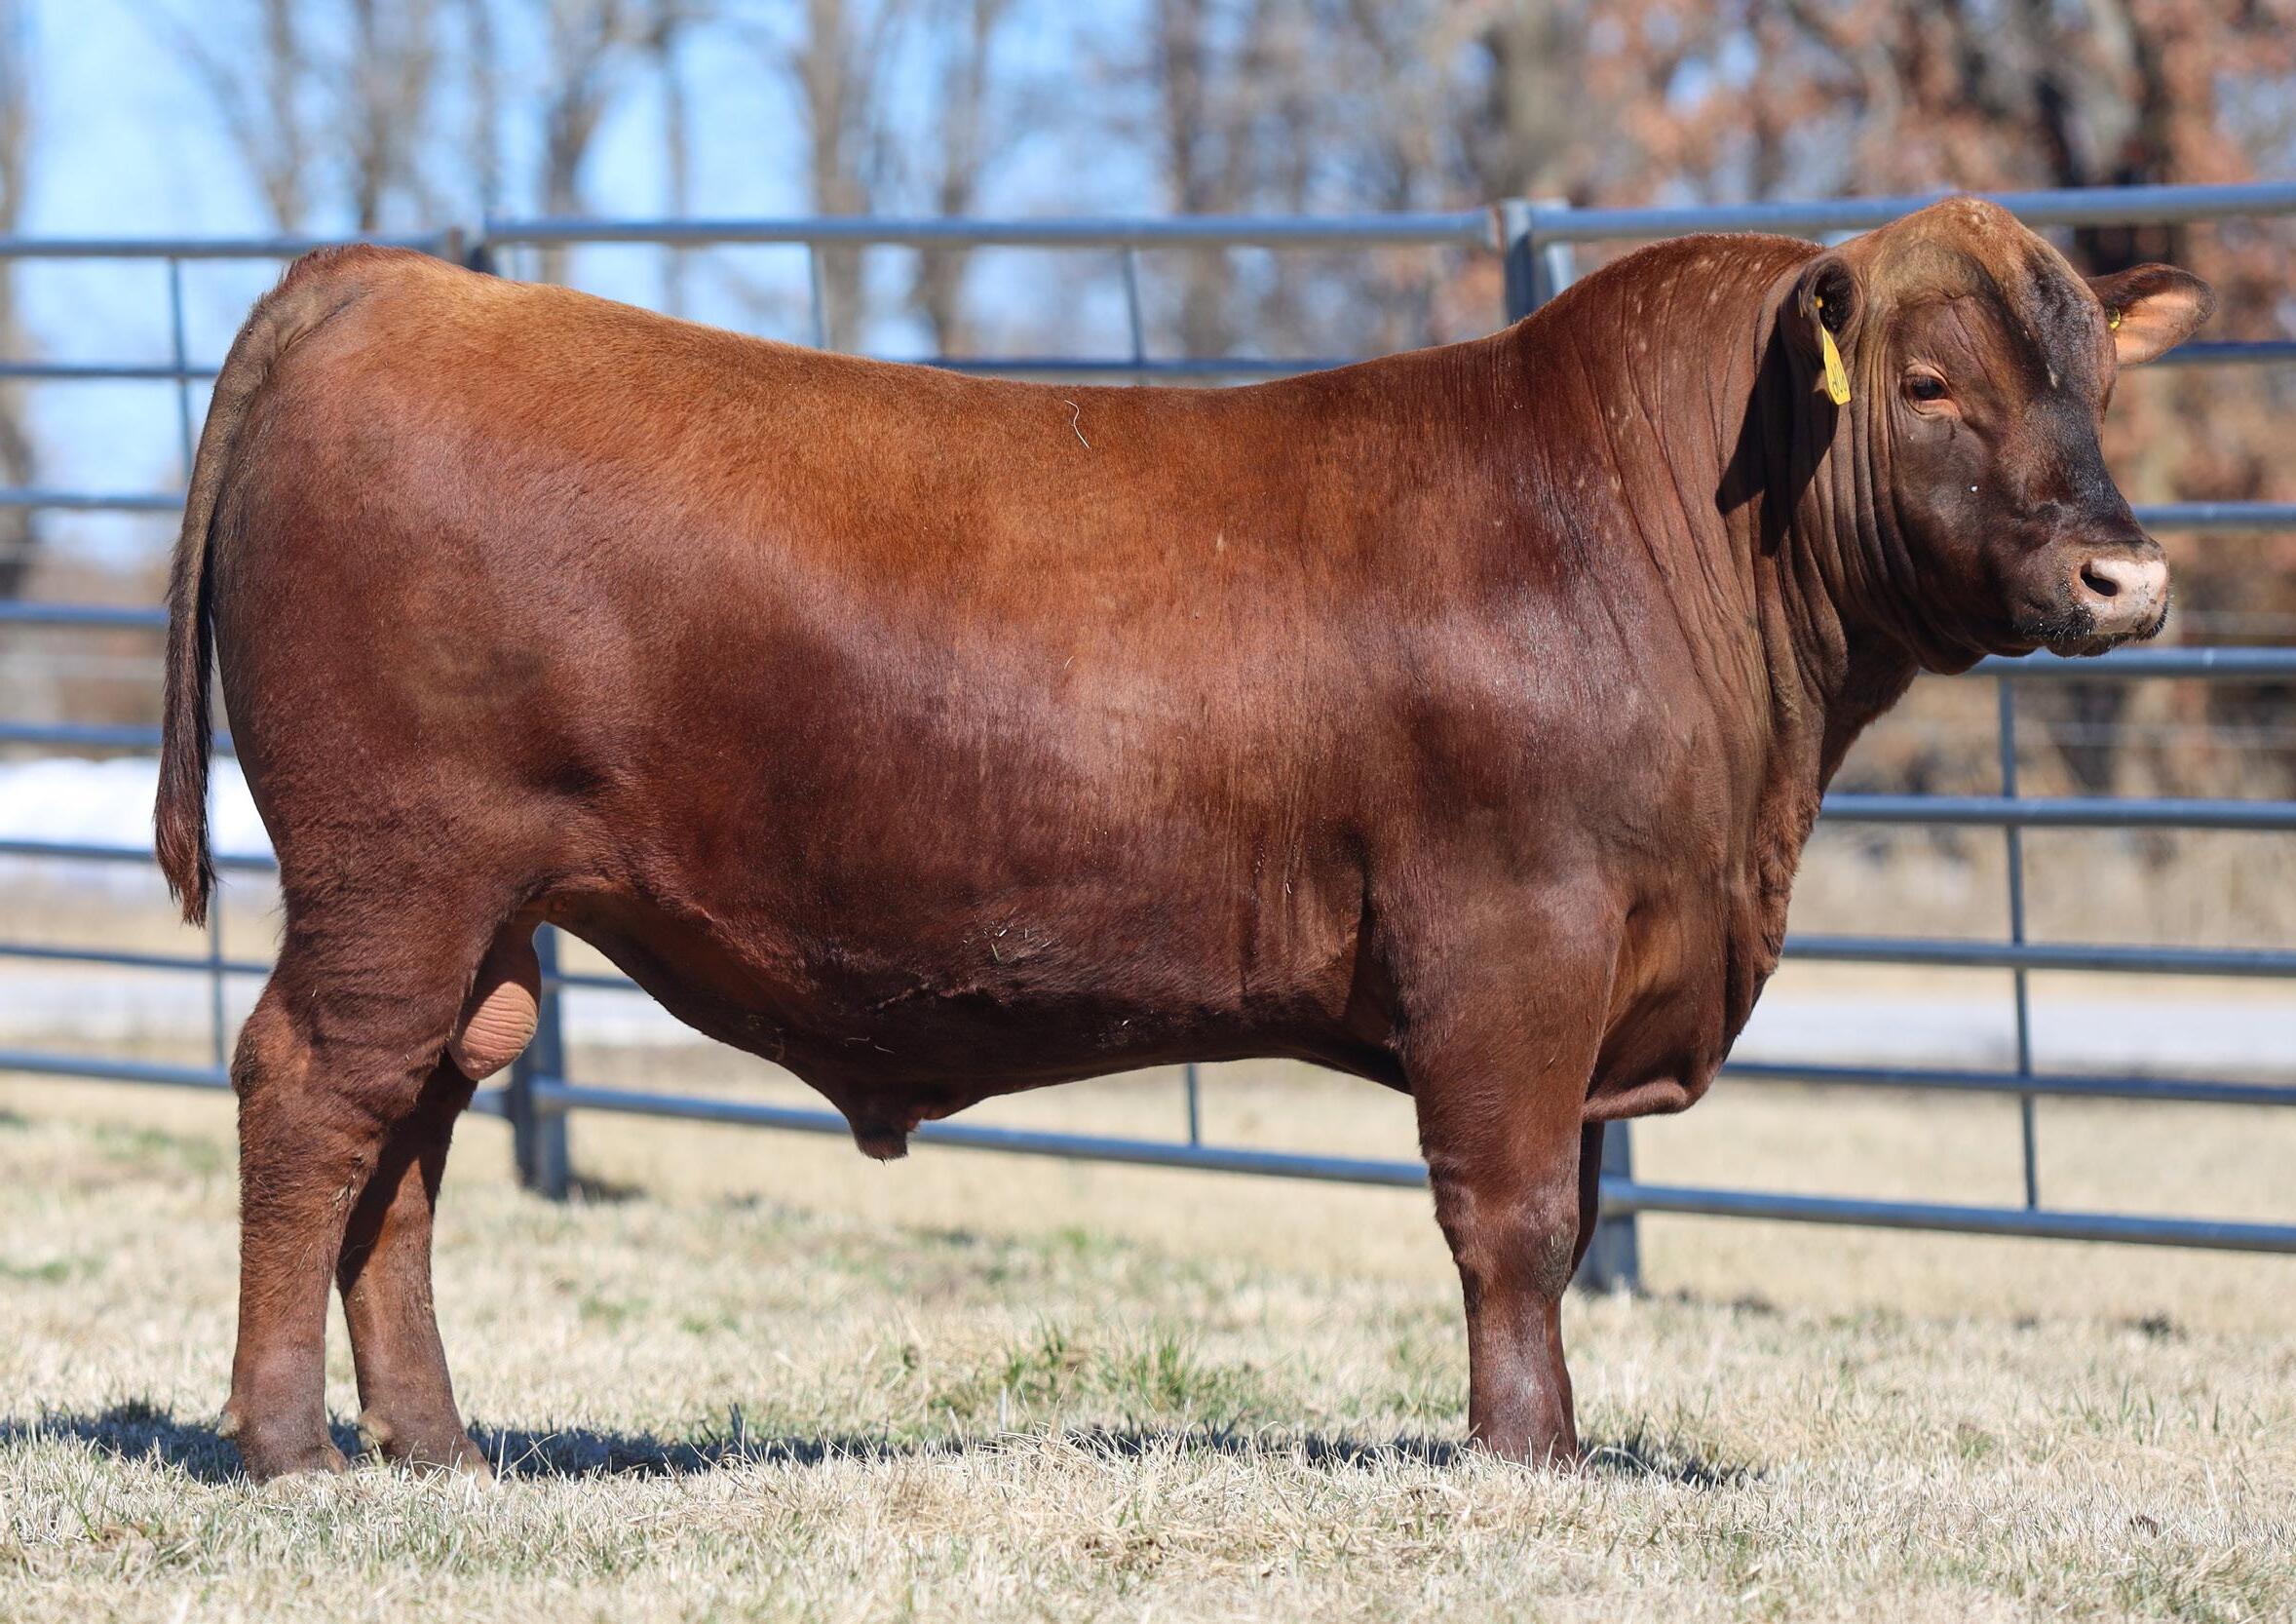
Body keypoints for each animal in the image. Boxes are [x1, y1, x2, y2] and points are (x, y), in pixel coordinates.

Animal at [154, 198, 2210, 1480]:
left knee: (415, 1130)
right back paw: (289, 1447)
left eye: (2100, 384)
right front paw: (1530, 1460)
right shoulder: (1513, 942)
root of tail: (396, 284)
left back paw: (439, 1449)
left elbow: (1558, 1213)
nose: (2125, 576)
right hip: (396, 874)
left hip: (474, 911)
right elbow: (1517, 1219)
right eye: (1932, 387)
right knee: (314, 1092)